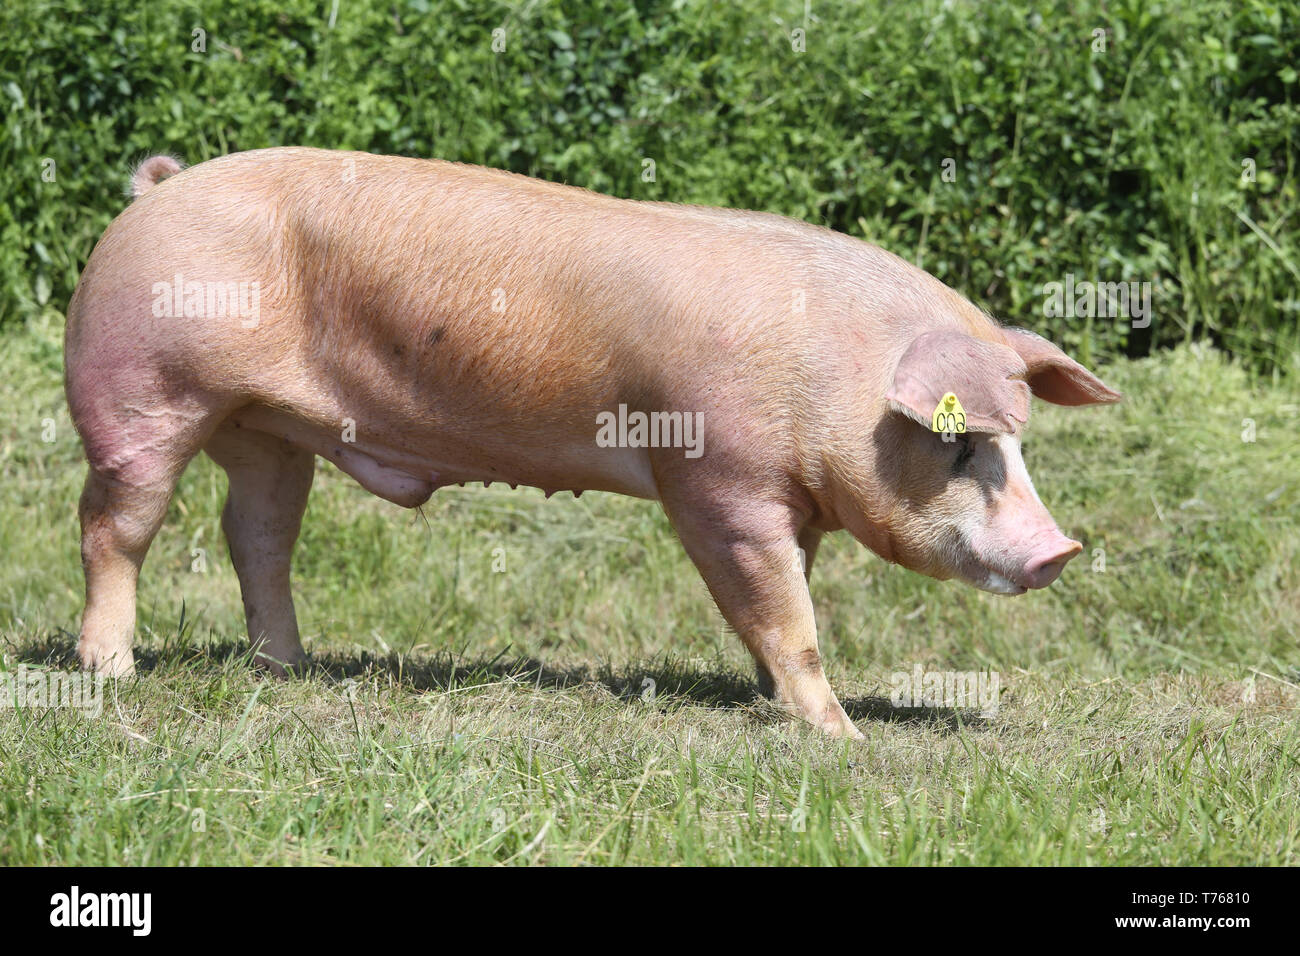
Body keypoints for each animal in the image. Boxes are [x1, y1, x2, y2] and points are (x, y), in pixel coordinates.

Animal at [65, 148, 1120, 738]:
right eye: (963, 446)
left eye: (1021, 445)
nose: (1062, 549)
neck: (835, 382)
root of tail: (155, 192)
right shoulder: (717, 484)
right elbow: (785, 614)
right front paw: (842, 738)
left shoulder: (790, 505)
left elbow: (782, 603)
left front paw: (768, 697)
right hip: (143, 392)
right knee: (114, 526)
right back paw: (110, 673)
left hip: (264, 428)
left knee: (258, 535)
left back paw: (288, 669)